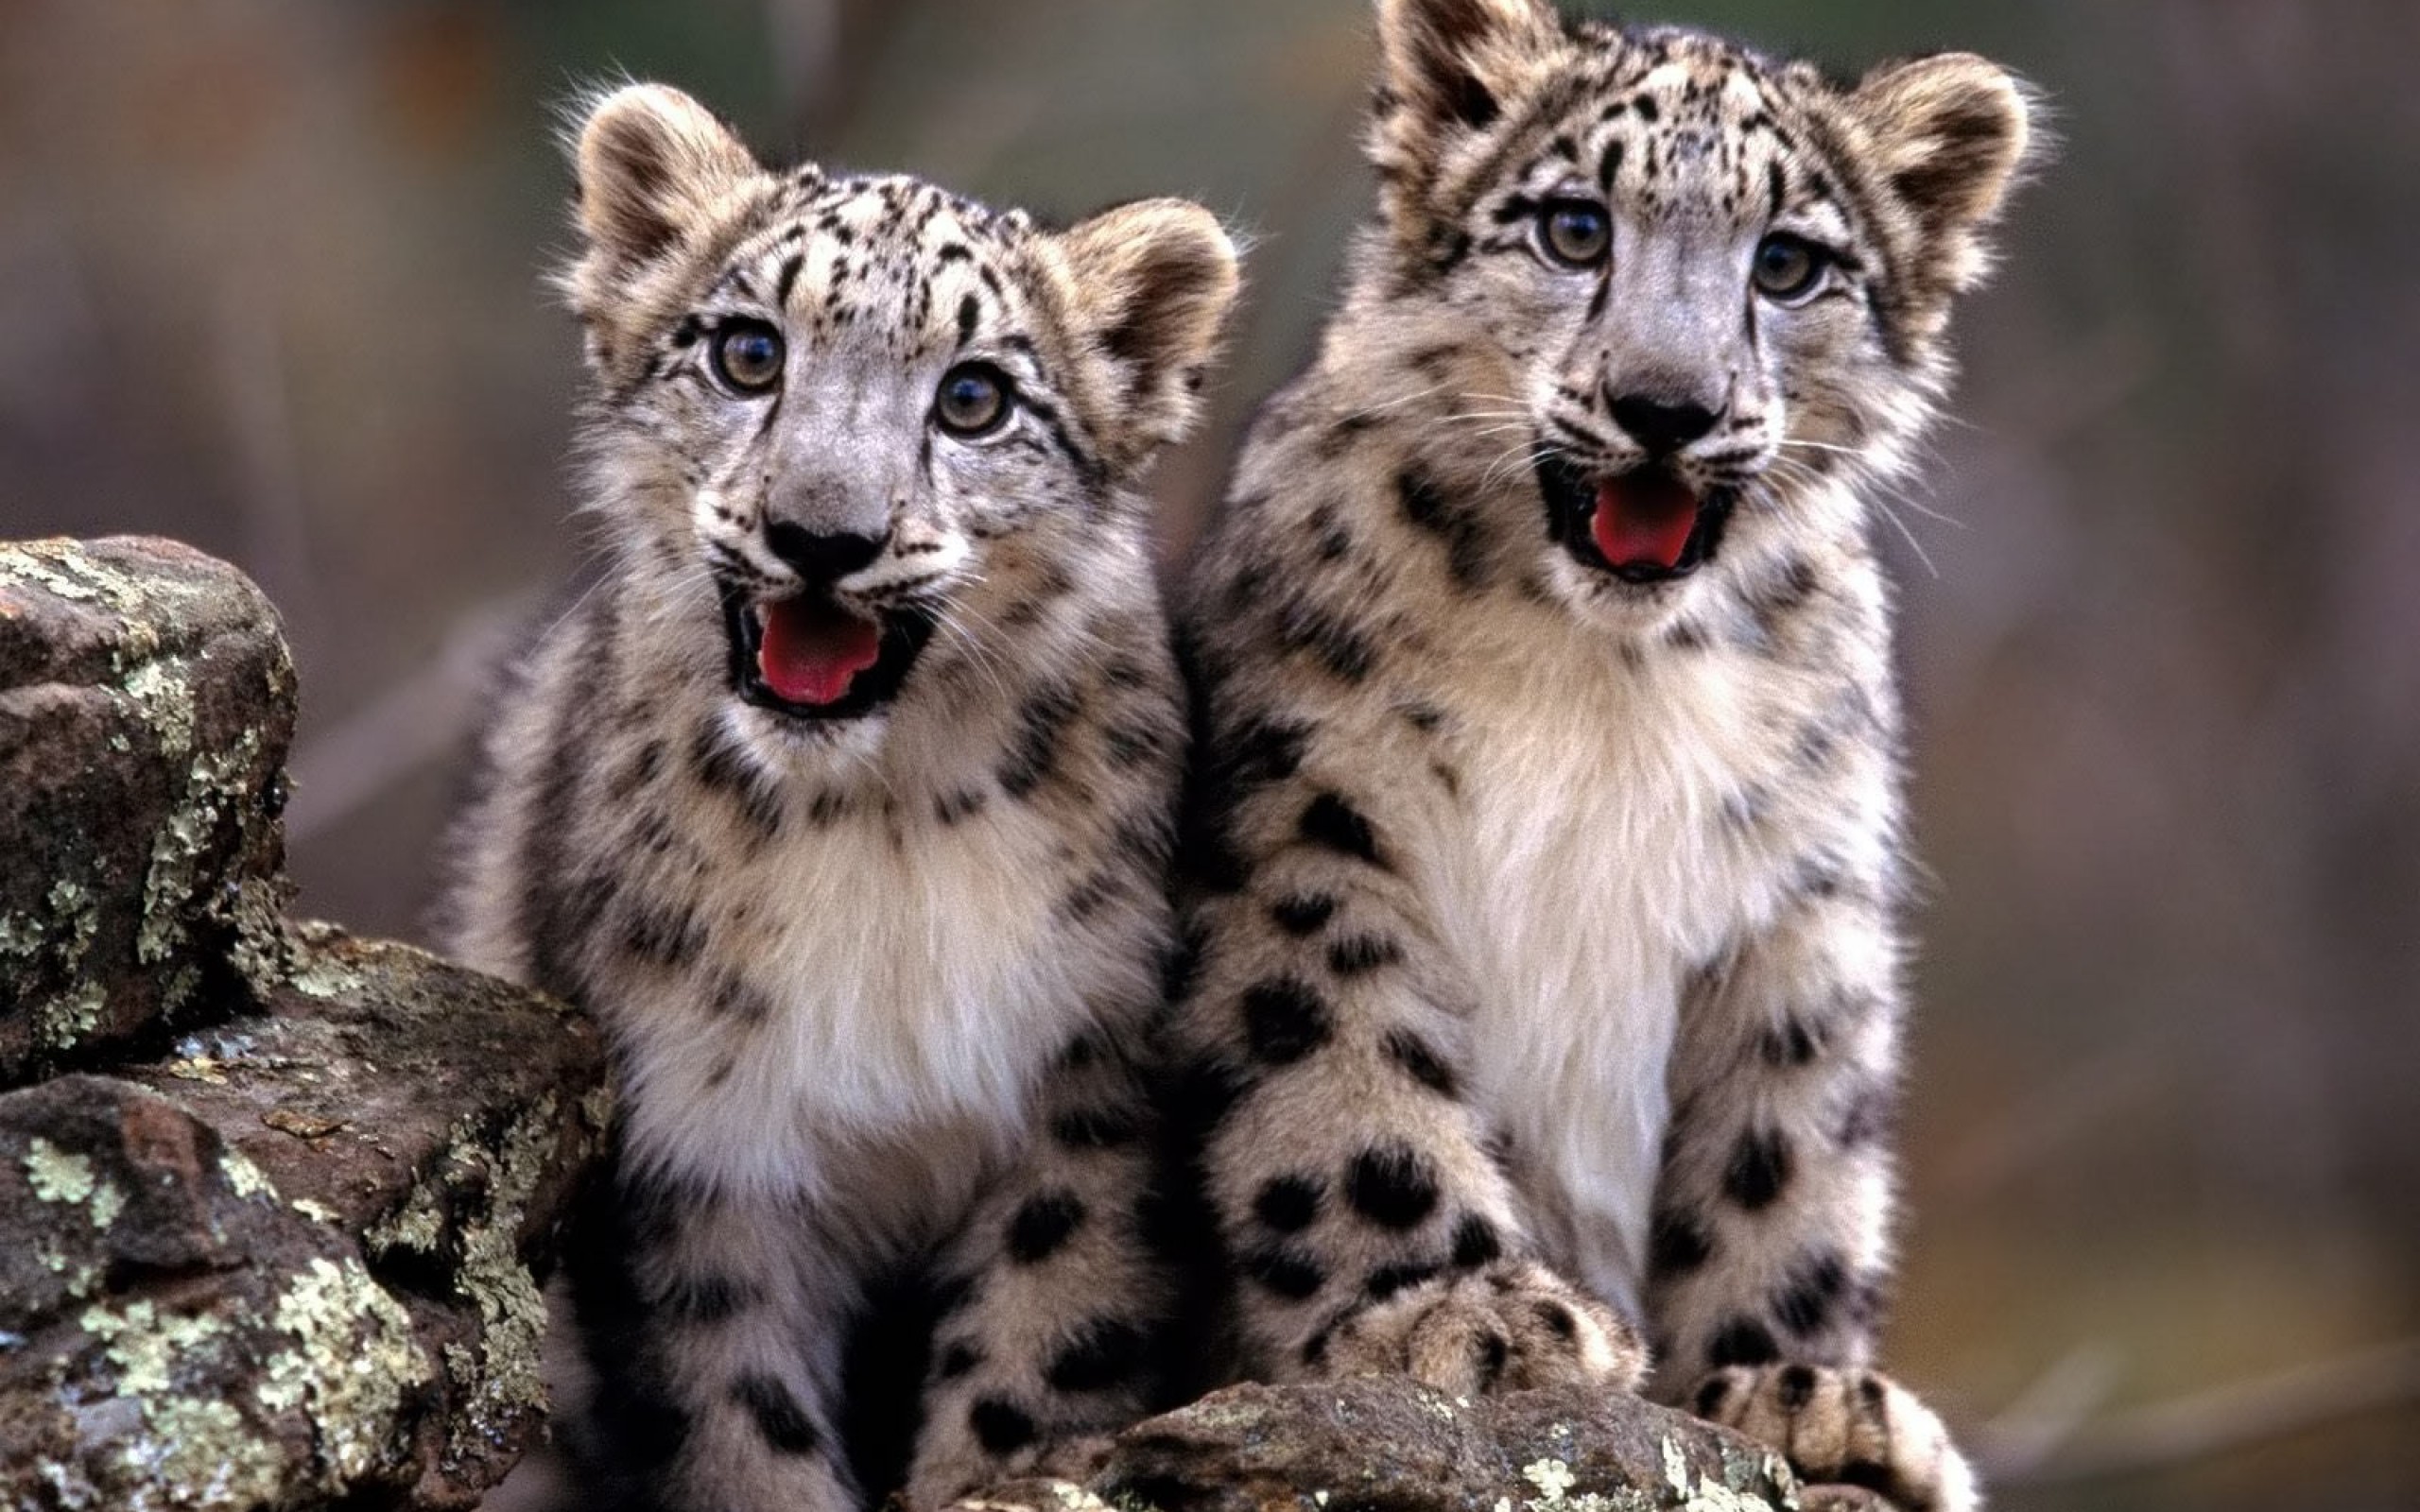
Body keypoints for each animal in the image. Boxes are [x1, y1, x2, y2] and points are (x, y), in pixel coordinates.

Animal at [435, 83, 1238, 1512]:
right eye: (750, 352)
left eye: (974, 397)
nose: (821, 535)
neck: (880, 830)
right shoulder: (695, 1139)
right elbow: (737, 1422)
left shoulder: (1085, 1092)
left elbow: (1036, 1358)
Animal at [1164, 4, 2038, 1509]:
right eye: (1575, 227)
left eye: (1788, 262)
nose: (1665, 405)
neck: (1607, 677)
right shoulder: (1307, 816)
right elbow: (1341, 1065)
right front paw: (1458, 1315)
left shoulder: (1800, 894)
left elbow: (1783, 1147)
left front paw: (1800, 1391)